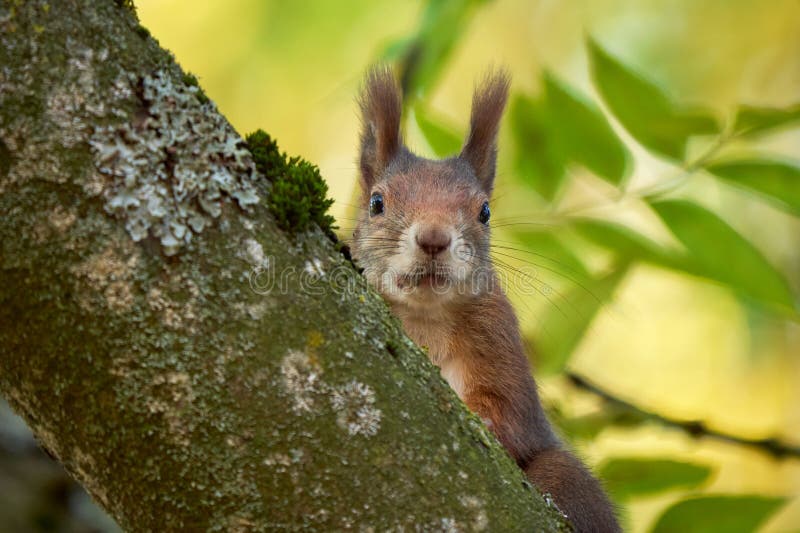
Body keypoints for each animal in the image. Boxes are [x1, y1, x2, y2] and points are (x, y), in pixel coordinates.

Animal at [351, 67, 620, 533]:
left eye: (485, 212)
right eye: (377, 203)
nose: (434, 238)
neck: (425, 315)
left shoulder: (499, 341)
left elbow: (509, 414)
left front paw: (488, 423)